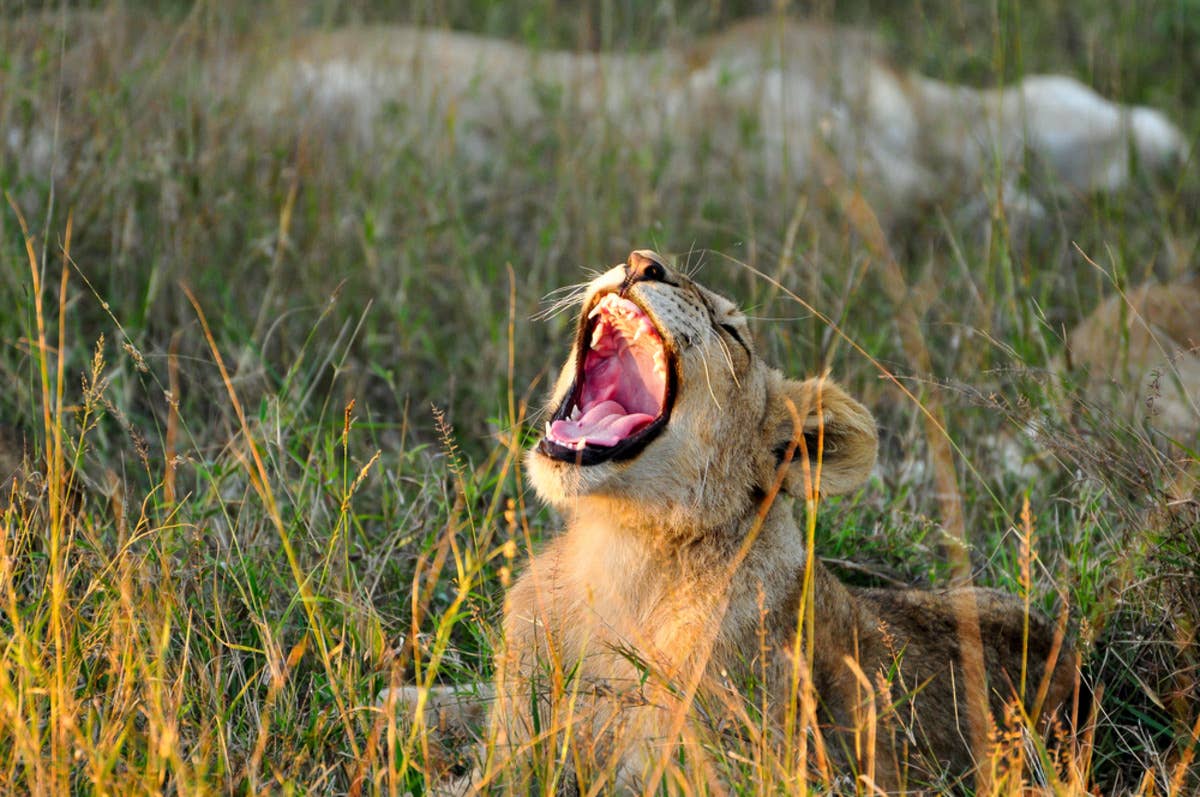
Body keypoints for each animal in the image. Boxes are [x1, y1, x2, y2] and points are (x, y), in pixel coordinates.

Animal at [385, 250, 1081, 793]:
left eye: (732, 332)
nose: (642, 262)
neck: (617, 551)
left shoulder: (700, 767)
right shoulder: (518, 712)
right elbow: (479, 714)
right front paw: (400, 701)